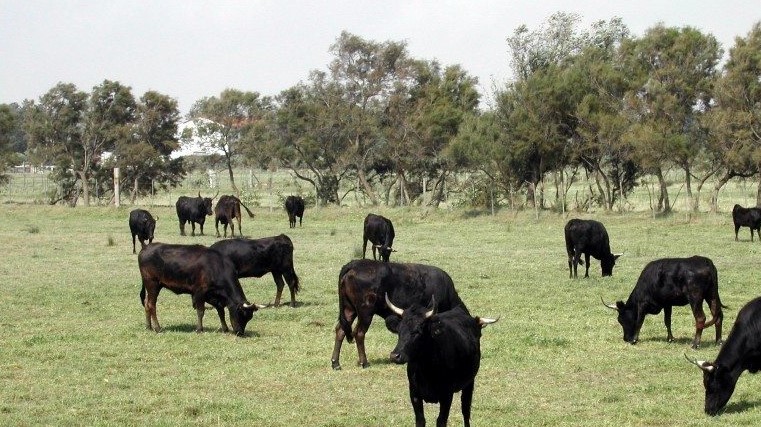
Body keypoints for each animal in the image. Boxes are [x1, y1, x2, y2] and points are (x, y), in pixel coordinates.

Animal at [331, 259, 468, 370]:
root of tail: (353, 264)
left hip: (349, 309)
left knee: (340, 330)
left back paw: (335, 363)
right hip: (365, 312)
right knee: (359, 333)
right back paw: (364, 362)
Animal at [386, 295, 497, 427]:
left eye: (418, 331)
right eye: (399, 330)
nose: (395, 356)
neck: (426, 370)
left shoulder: (447, 395)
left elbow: (441, 421)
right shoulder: (414, 393)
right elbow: (420, 420)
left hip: (470, 382)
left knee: (466, 411)